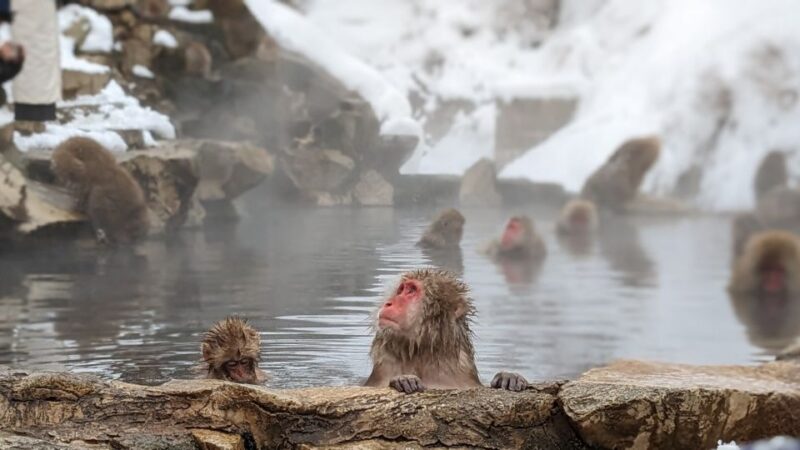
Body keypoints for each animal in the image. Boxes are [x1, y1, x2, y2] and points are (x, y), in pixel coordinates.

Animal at [364, 268, 528, 393]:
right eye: (401, 290)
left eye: (411, 290)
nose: (388, 303)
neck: (421, 351)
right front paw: (403, 379)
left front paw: (508, 377)